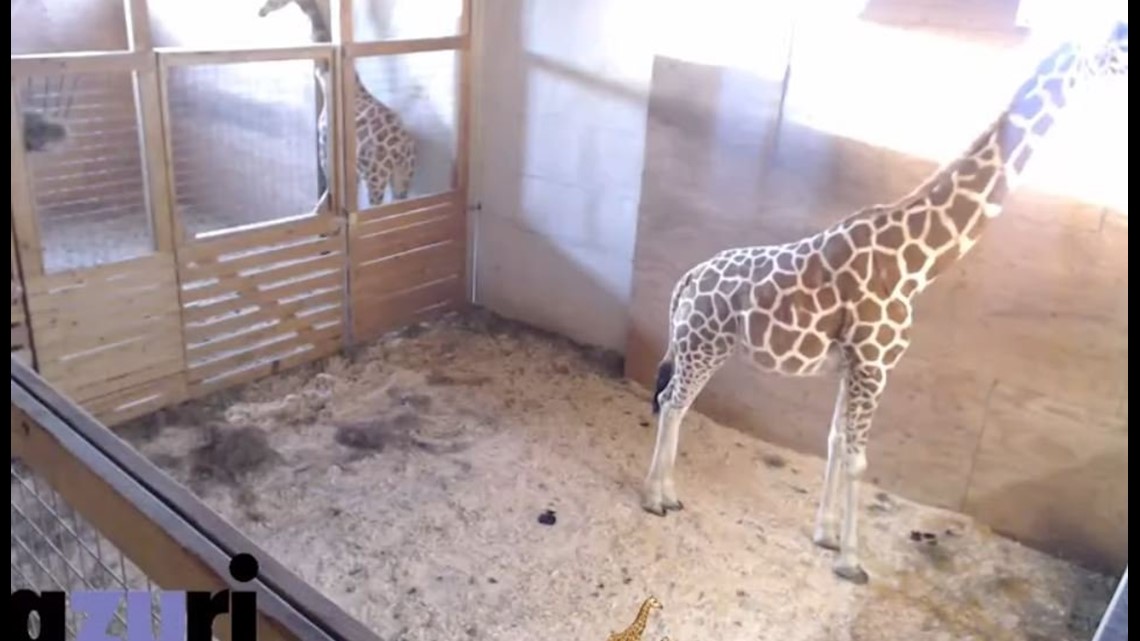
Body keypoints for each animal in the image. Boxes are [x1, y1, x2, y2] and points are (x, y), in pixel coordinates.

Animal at [257, 0, 417, 210]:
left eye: (273, 1)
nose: (260, 12)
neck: (326, 79)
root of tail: (403, 149)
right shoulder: (353, 169)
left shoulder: (326, 148)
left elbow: (330, 194)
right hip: (402, 177)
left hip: (377, 175)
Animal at [641, 20, 1128, 585]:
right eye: (1117, 39)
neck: (918, 262)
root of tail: (685, 281)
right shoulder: (874, 364)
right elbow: (858, 460)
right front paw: (852, 561)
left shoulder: (851, 365)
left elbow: (834, 441)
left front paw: (827, 535)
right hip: (703, 345)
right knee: (673, 401)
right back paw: (655, 498)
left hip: (704, 348)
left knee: (677, 402)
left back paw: (670, 495)